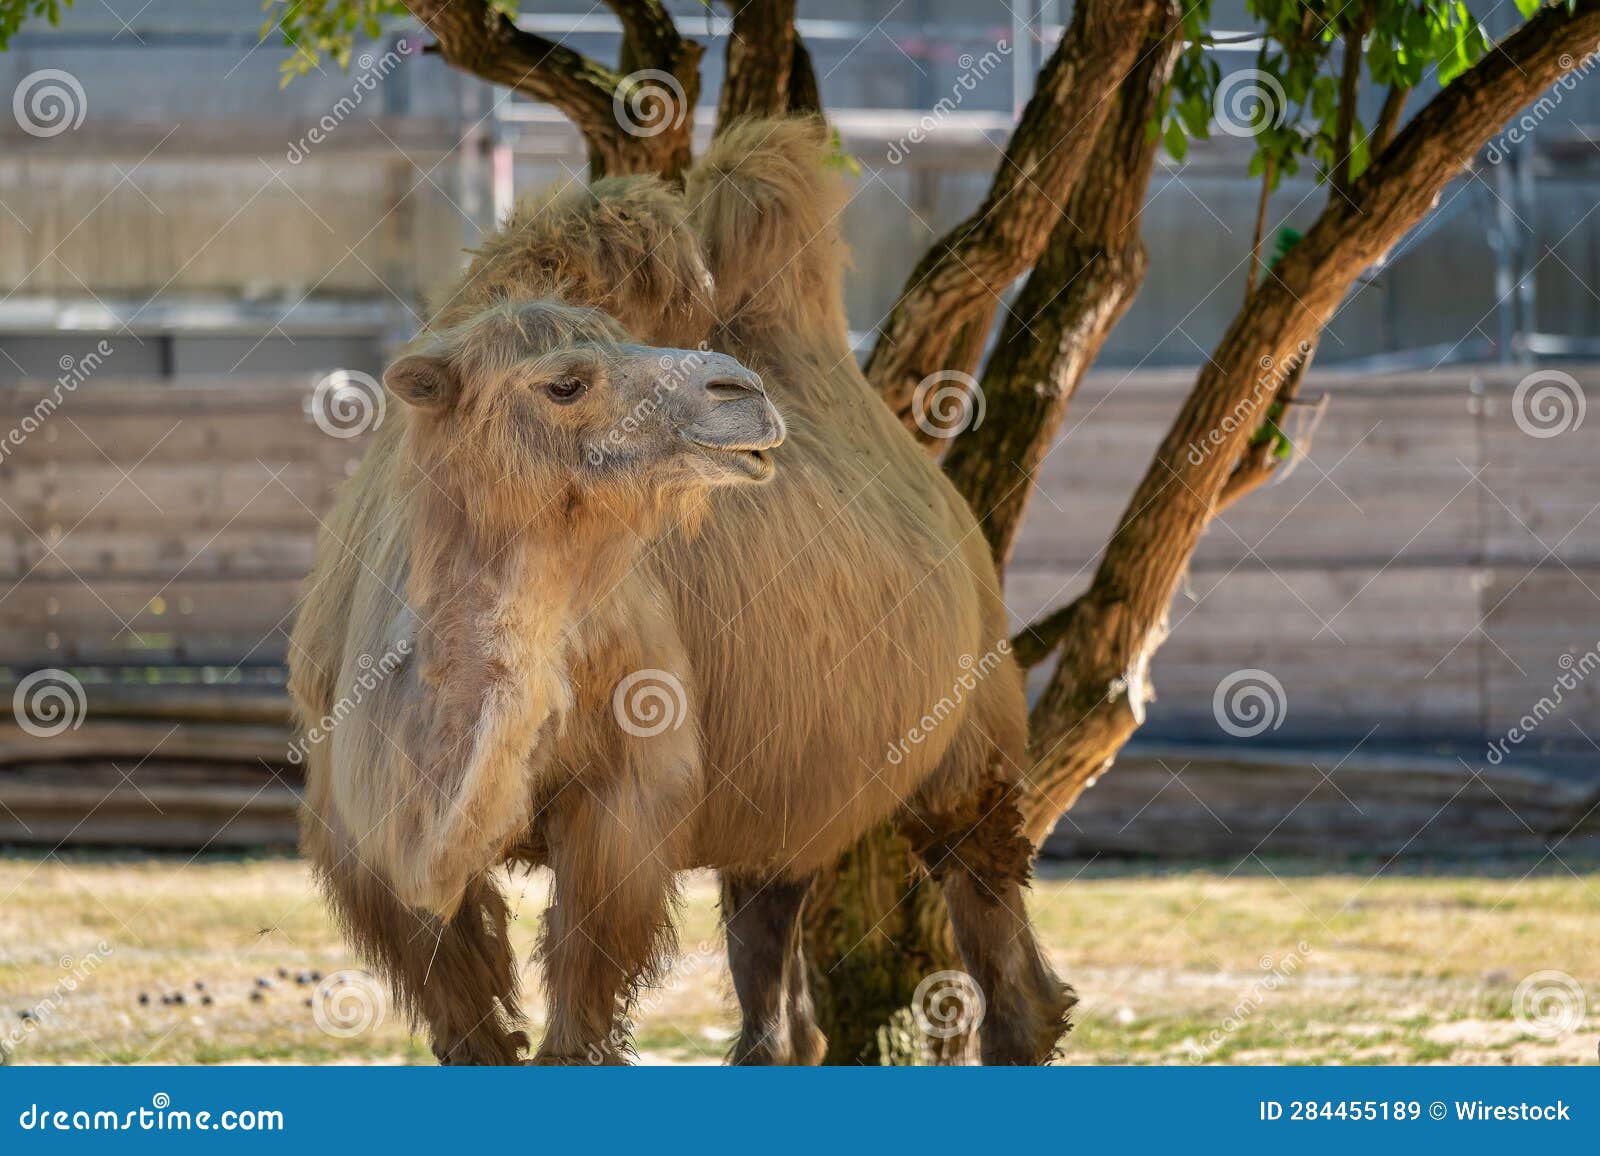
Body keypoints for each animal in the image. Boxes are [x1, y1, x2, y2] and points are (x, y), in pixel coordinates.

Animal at [288, 118, 1073, 1066]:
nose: (742, 392)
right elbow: (472, 1035)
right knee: (775, 975)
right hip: (782, 797)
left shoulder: (625, 803)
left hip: (973, 730)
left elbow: (577, 1026)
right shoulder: (363, 847)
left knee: (991, 913)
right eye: (565, 381)